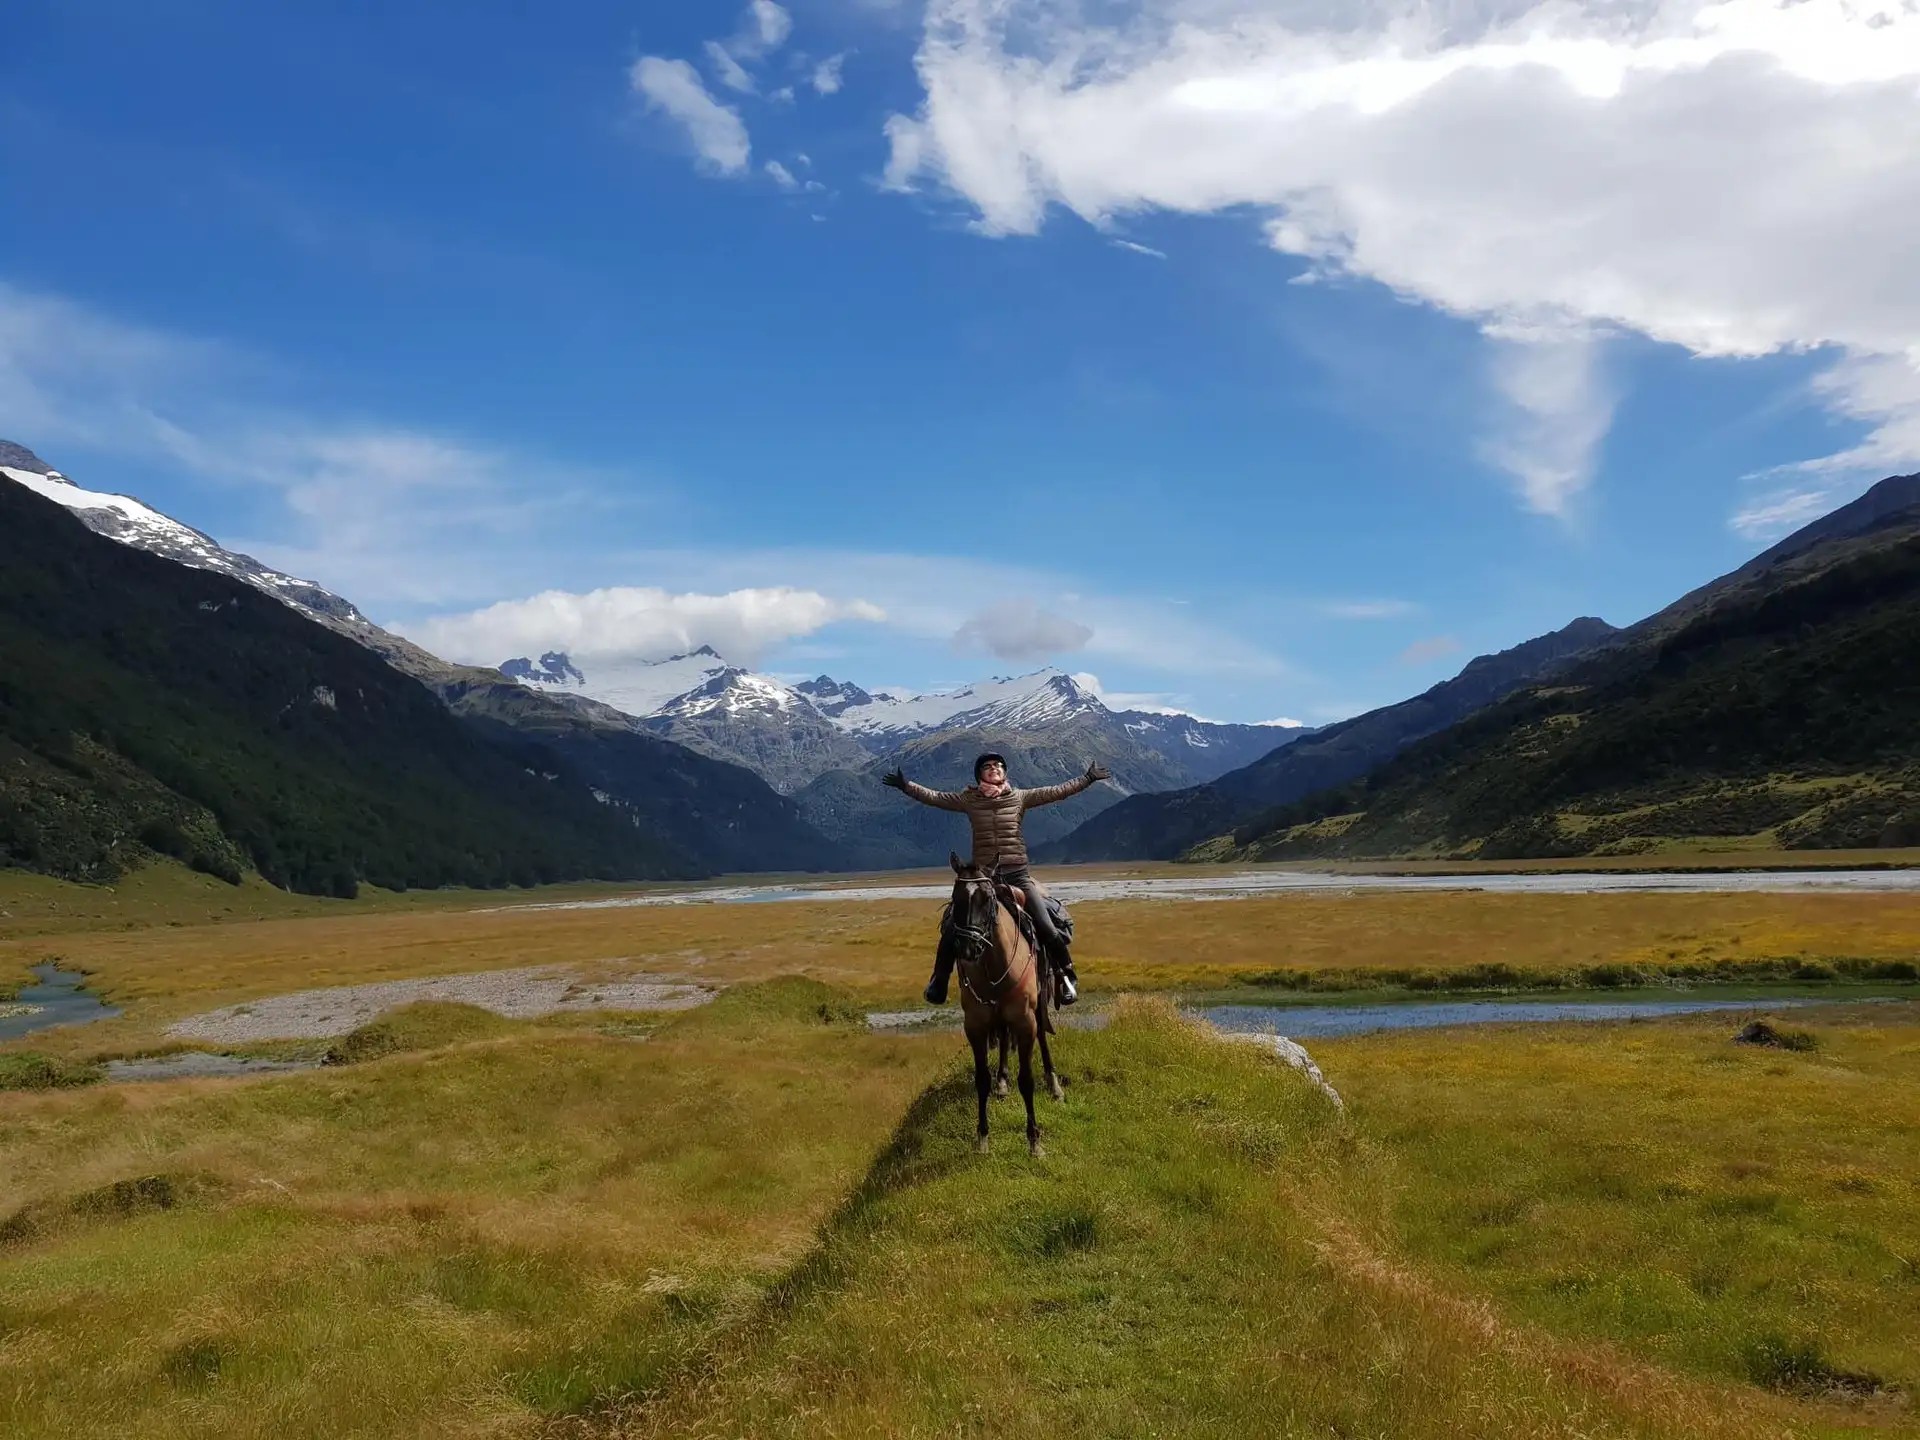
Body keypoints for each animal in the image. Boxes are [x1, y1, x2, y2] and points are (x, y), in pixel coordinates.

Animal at [947, 851, 1064, 1157]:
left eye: (987, 898)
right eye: (955, 897)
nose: (969, 948)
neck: (994, 966)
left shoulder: (1024, 1022)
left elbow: (1027, 1080)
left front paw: (1034, 1141)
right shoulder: (975, 1026)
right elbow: (981, 1080)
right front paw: (982, 1138)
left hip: (1039, 1005)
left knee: (1043, 1037)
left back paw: (1054, 1084)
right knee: (1000, 1039)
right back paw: (1002, 1082)